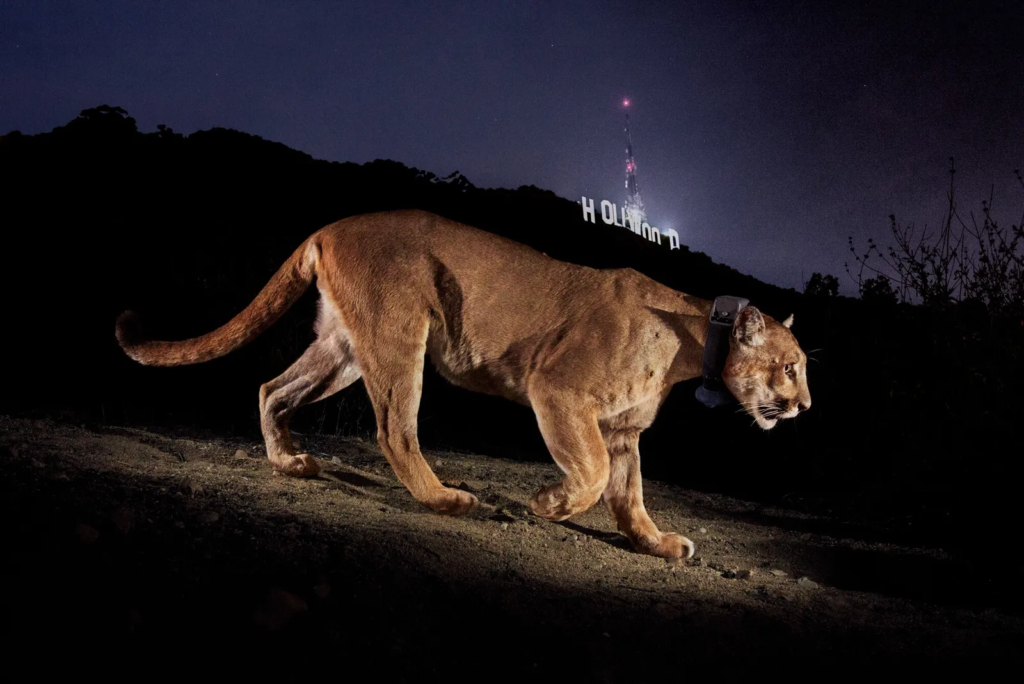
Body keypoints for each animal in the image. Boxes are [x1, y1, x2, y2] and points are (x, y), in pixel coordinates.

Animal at [116, 210, 811, 559]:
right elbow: (589, 477)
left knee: (271, 388)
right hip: (400, 334)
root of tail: (331, 226)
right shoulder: (558, 391)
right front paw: (548, 504)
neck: (693, 341)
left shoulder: (622, 430)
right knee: (394, 429)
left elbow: (629, 496)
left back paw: (289, 462)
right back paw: (447, 499)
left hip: (343, 348)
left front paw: (659, 543)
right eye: (791, 366)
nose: (804, 404)